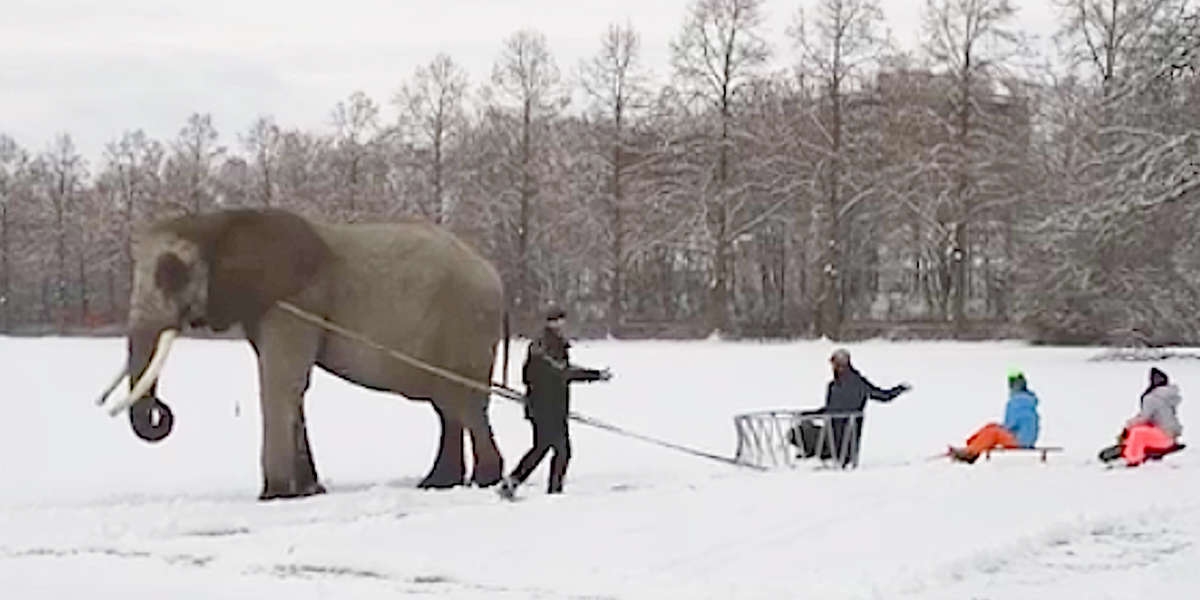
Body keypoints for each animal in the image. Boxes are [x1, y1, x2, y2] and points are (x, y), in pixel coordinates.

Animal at [104, 208, 509, 500]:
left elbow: (280, 381)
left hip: (467, 323)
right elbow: (293, 387)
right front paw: (309, 491)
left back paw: (485, 482)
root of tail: (494, 275)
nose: (162, 412)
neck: (217, 222)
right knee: (448, 407)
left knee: (465, 402)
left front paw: (276, 495)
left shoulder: (296, 301)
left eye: (171, 273)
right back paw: (438, 484)